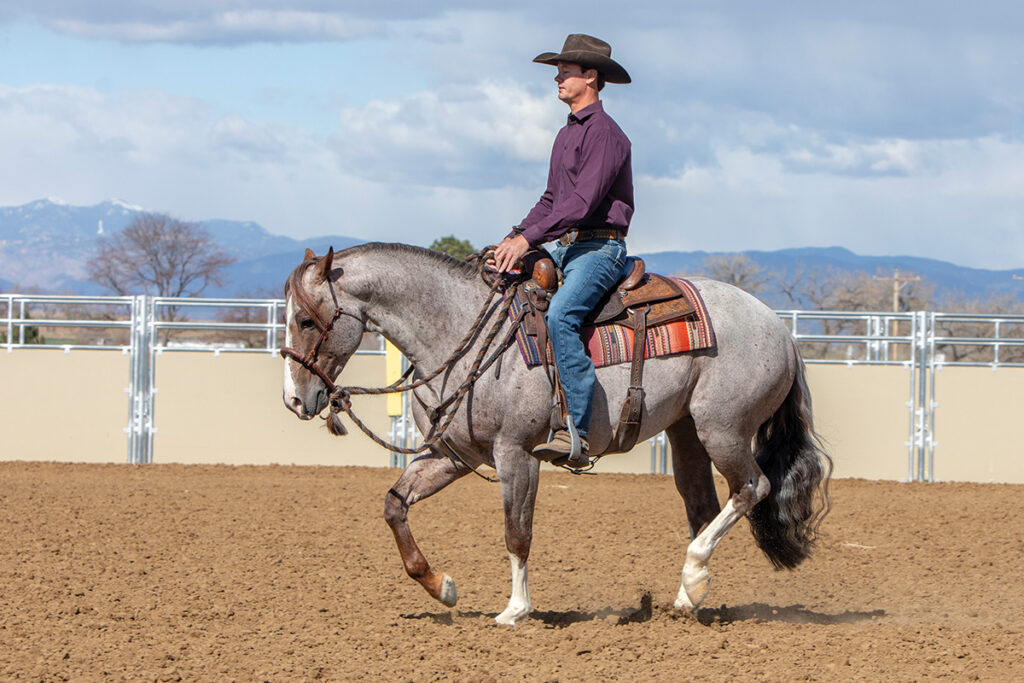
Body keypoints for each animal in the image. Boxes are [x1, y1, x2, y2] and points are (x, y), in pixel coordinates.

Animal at [281, 242, 831, 626]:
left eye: (306, 319)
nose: (294, 401)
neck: (458, 329)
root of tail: (781, 331)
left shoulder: (516, 454)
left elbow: (517, 531)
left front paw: (515, 610)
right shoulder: (453, 454)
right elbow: (395, 504)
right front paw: (443, 588)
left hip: (724, 429)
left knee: (752, 488)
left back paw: (693, 576)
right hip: (686, 434)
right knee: (703, 507)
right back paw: (687, 597)